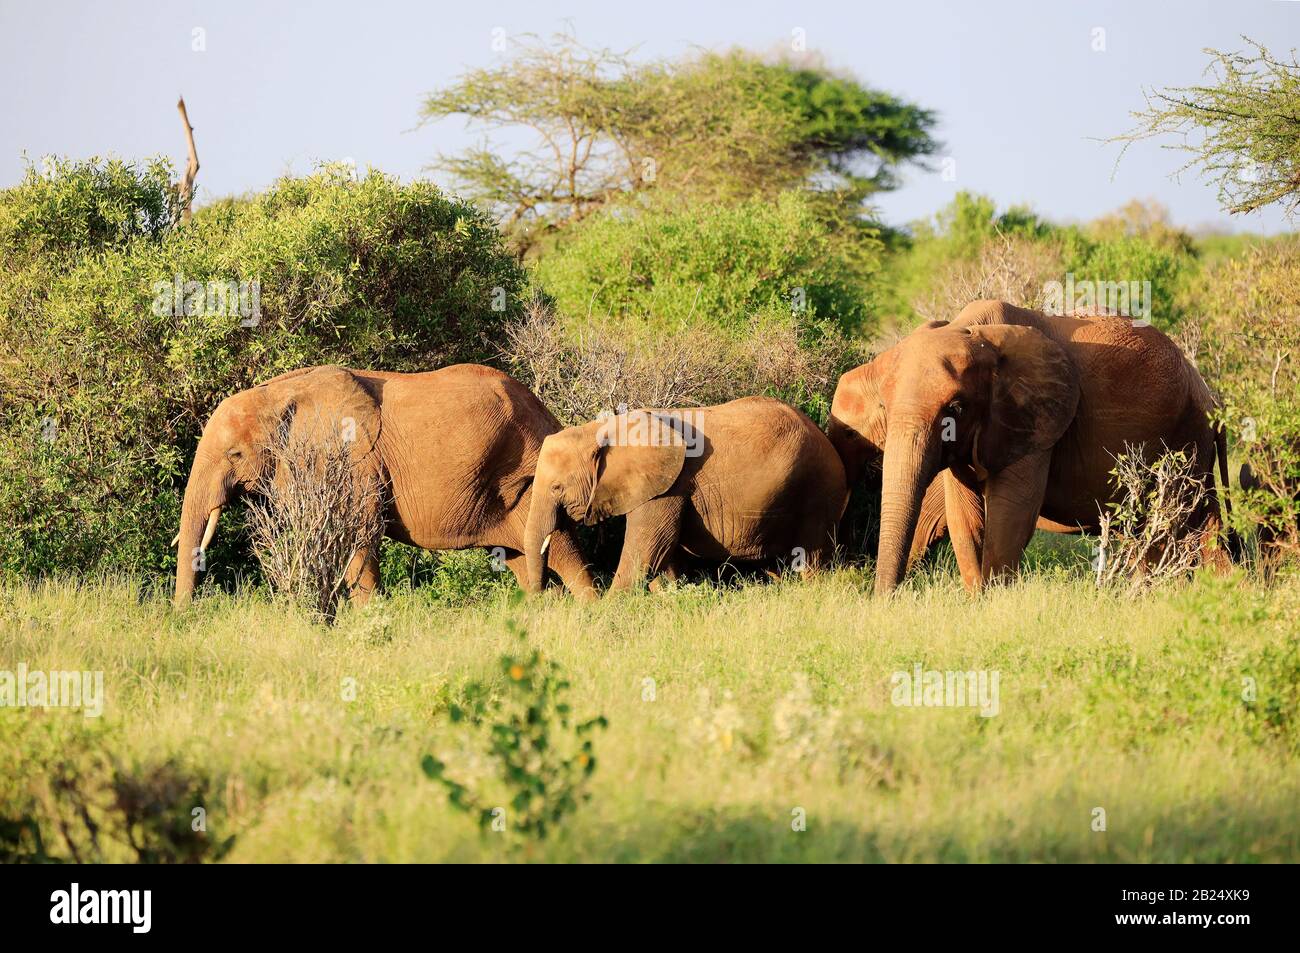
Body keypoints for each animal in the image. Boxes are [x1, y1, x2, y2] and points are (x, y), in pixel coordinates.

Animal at [173, 363, 597, 606]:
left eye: (234, 454)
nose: (183, 617)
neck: (277, 393)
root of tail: (546, 410)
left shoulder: (356, 462)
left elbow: (358, 533)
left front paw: (369, 620)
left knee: (561, 551)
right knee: (525, 560)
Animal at [524, 397, 848, 593]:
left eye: (556, 487)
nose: (544, 596)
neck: (604, 429)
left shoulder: (669, 486)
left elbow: (648, 549)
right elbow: (664, 553)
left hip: (819, 489)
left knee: (811, 558)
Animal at [827, 300, 1229, 595]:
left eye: (955, 409)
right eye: (884, 408)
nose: (884, 600)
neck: (976, 332)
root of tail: (1209, 393)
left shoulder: (1034, 420)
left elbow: (1012, 510)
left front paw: (992, 603)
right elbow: (964, 514)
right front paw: (977, 599)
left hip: (1185, 439)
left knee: (1175, 524)